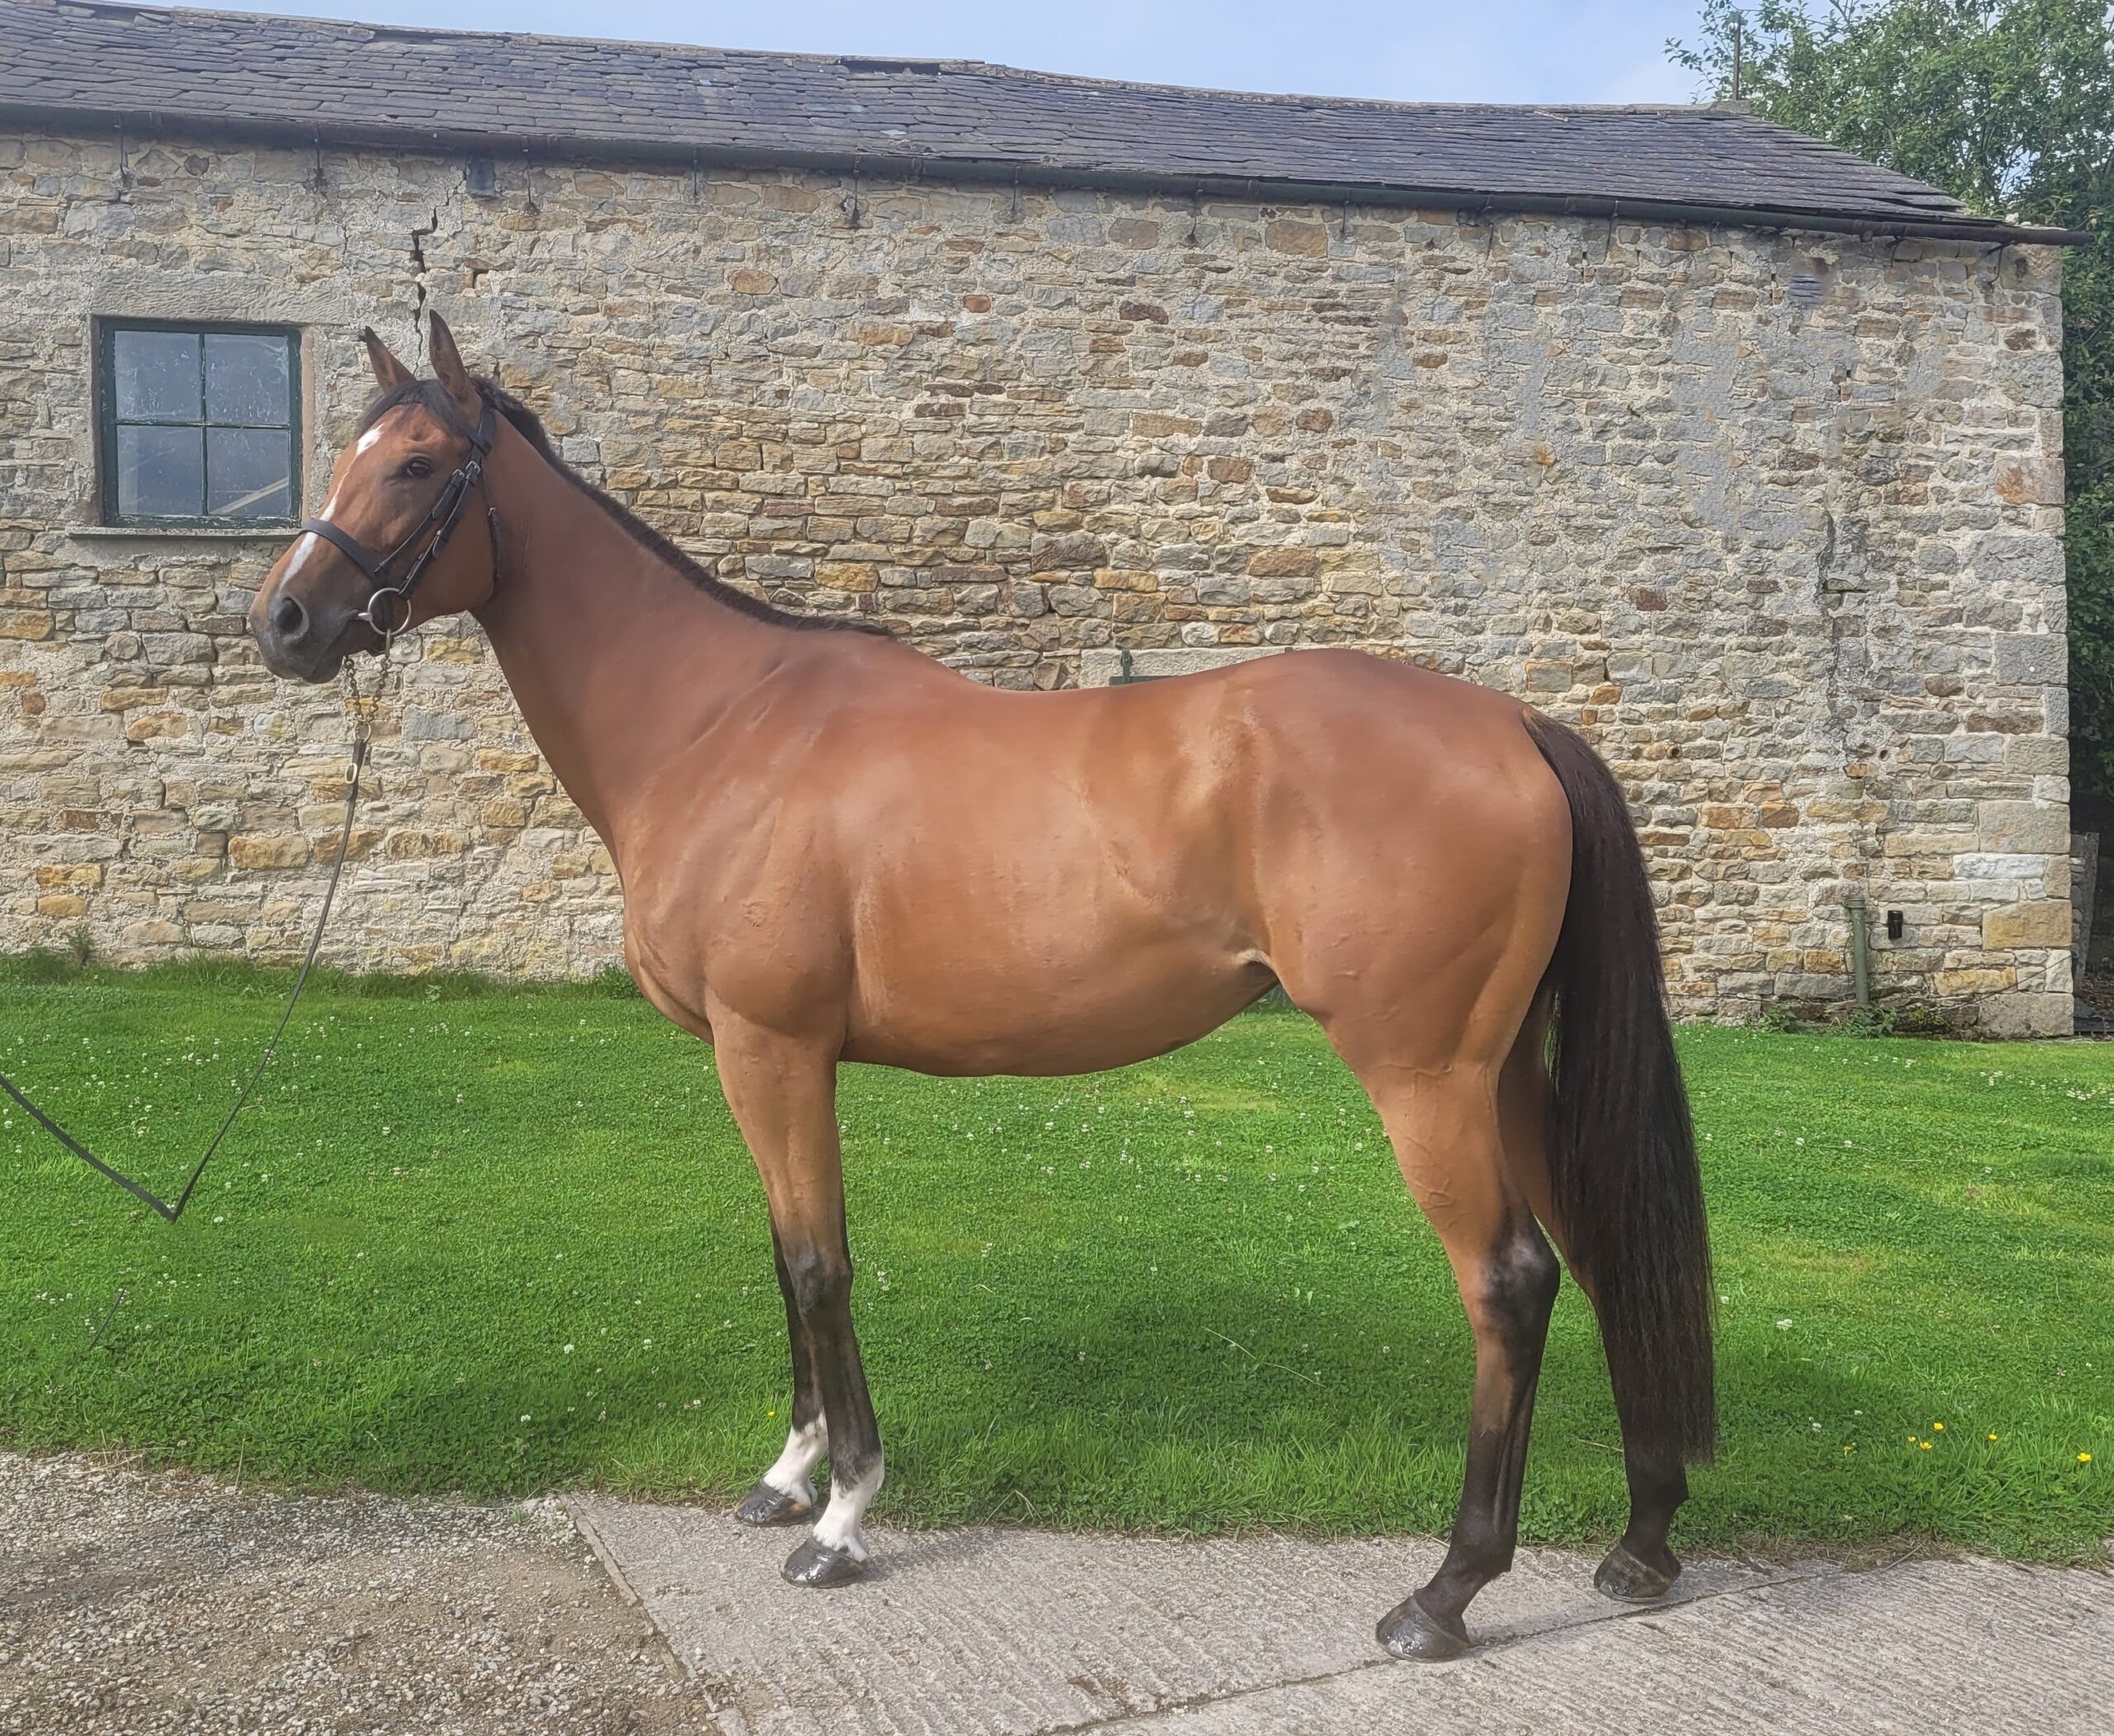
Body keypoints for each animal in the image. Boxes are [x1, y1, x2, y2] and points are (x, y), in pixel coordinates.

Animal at [248, 313, 1713, 1662]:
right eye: (344, 454)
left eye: (416, 464)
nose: (282, 621)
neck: (719, 724)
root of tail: (1514, 722)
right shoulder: (764, 1058)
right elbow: (787, 1257)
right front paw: (787, 1478)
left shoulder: (770, 1047)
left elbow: (818, 1263)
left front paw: (842, 1518)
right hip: (1505, 1068)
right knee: (1600, 1248)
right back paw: (1642, 1541)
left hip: (1424, 1074)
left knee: (1509, 1281)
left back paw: (1444, 1593)